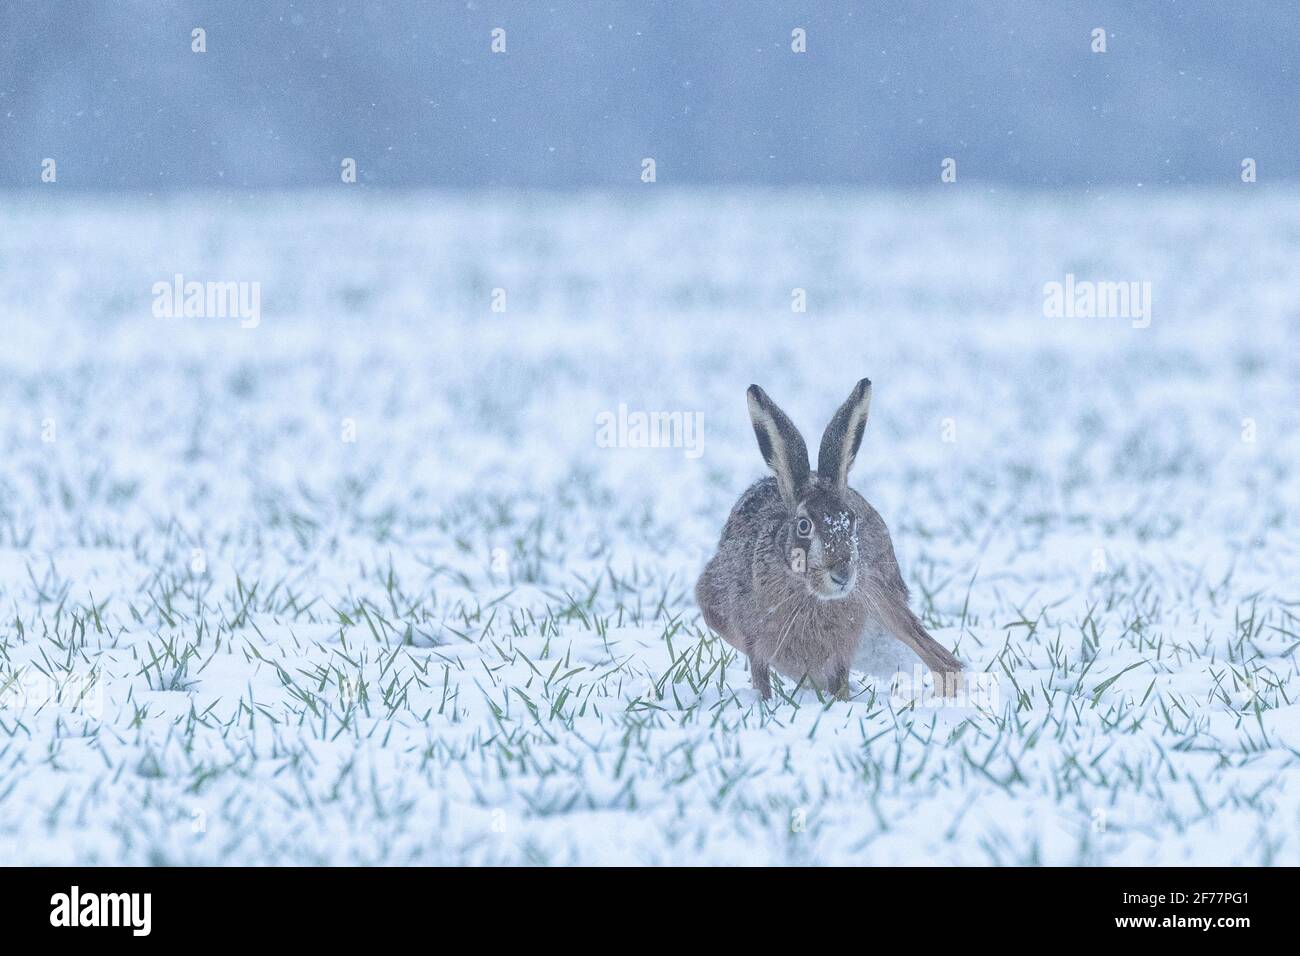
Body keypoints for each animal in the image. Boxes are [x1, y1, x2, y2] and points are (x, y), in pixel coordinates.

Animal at [695, 378, 964, 701]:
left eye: (853, 519)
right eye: (803, 525)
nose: (842, 574)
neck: (810, 593)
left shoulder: (844, 647)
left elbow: (840, 677)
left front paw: (840, 704)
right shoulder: (753, 642)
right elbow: (760, 676)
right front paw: (764, 703)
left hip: (884, 598)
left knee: (941, 661)